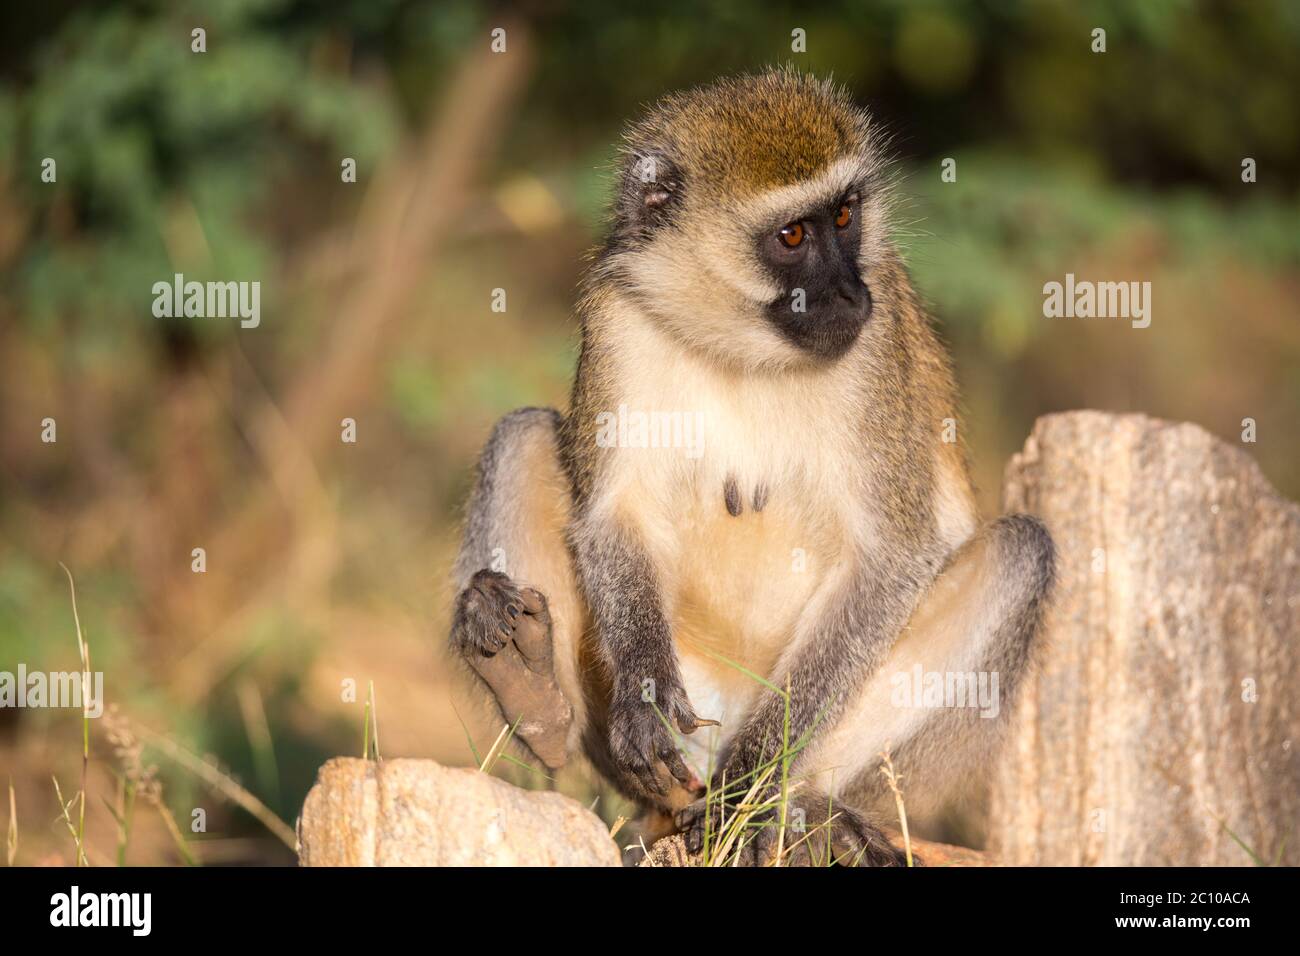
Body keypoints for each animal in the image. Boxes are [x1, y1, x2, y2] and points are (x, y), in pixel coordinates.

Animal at [448, 68, 1055, 866]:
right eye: (792, 236)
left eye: (845, 216)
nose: (848, 293)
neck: (740, 345)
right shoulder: (618, 315)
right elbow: (615, 511)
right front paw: (641, 695)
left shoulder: (875, 344)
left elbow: (891, 557)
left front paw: (755, 777)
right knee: (521, 434)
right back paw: (533, 694)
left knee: (1020, 551)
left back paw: (804, 809)